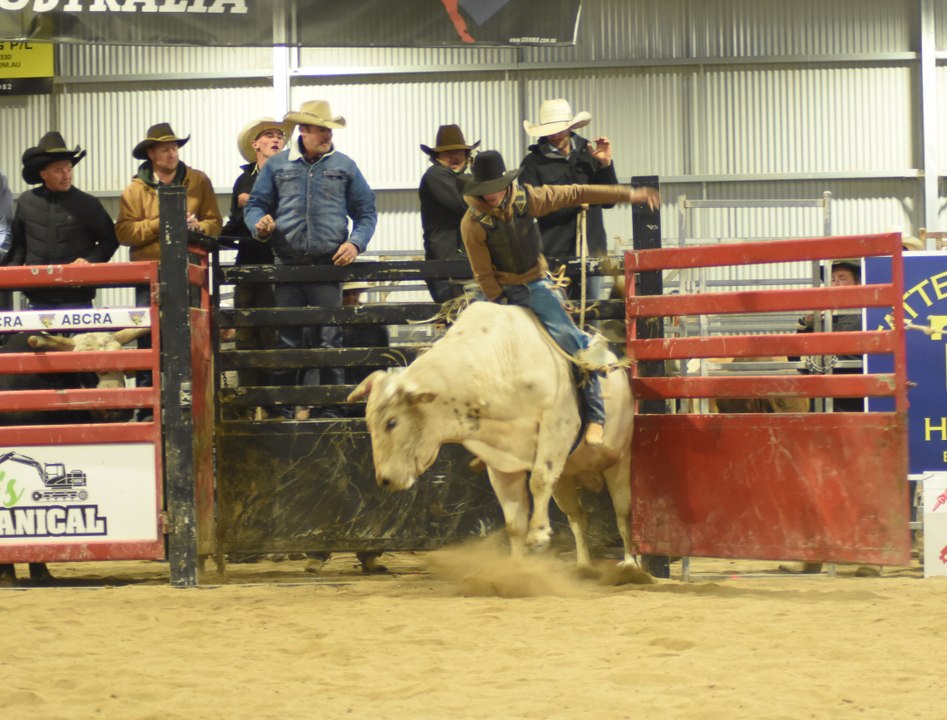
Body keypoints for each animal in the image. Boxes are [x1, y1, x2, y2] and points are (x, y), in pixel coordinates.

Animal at [347, 301, 636, 572]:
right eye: (369, 421)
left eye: (392, 422)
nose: (384, 479)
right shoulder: (499, 457)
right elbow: (514, 521)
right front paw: (518, 569)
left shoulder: (558, 425)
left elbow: (539, 480)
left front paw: (538, 537)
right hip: (566, 478)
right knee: (577, 517)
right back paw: (584, 566)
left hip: (619, 462)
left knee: (623, 513)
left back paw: (631, 563)